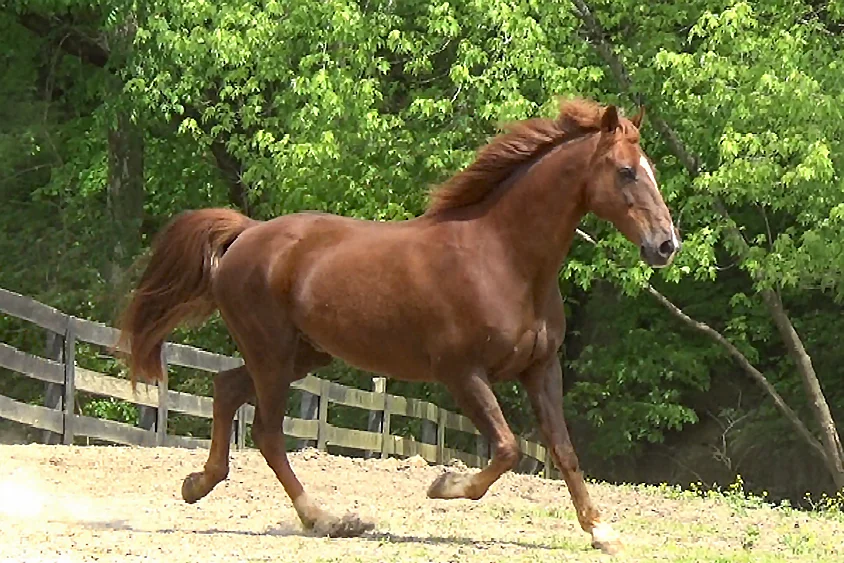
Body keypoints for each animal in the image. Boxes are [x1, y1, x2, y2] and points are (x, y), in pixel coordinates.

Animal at [116, 98, 679, 554]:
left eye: (649, 170)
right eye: (626, 172)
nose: (666, 245)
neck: (503, 258)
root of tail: (247, 234)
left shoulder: (541, 369)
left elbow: (561, 450)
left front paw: (602, 531)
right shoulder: (462, 373)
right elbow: (507, 448)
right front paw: (444, 486)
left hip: (300, 354)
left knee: (227, 389)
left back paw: (200, 483)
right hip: (272, 354)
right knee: (268, 433)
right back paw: (326, 519)